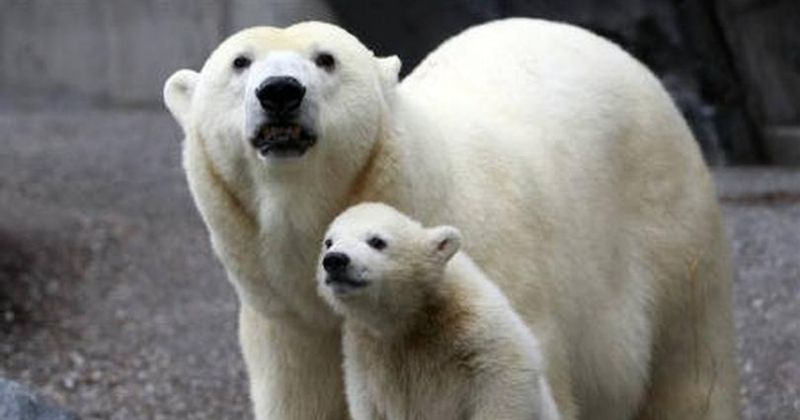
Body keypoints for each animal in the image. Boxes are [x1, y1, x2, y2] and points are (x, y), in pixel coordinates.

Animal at [317, 202, 561, 420]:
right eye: (329, 242)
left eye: (377, 241)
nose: (335, 260)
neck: (412, 318)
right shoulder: (367, 355)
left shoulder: (476, 328)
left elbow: (505, 379)